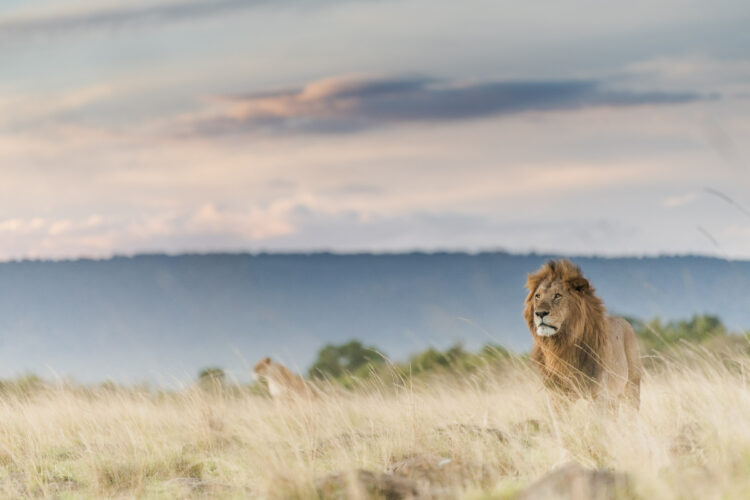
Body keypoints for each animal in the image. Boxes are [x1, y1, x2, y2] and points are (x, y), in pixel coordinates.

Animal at [523, 259, 641, 408]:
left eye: (557, 295)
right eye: (537, 296)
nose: (540, 313)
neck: (560, 347)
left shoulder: (598, 395)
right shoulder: (557, 395)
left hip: (632, 389)